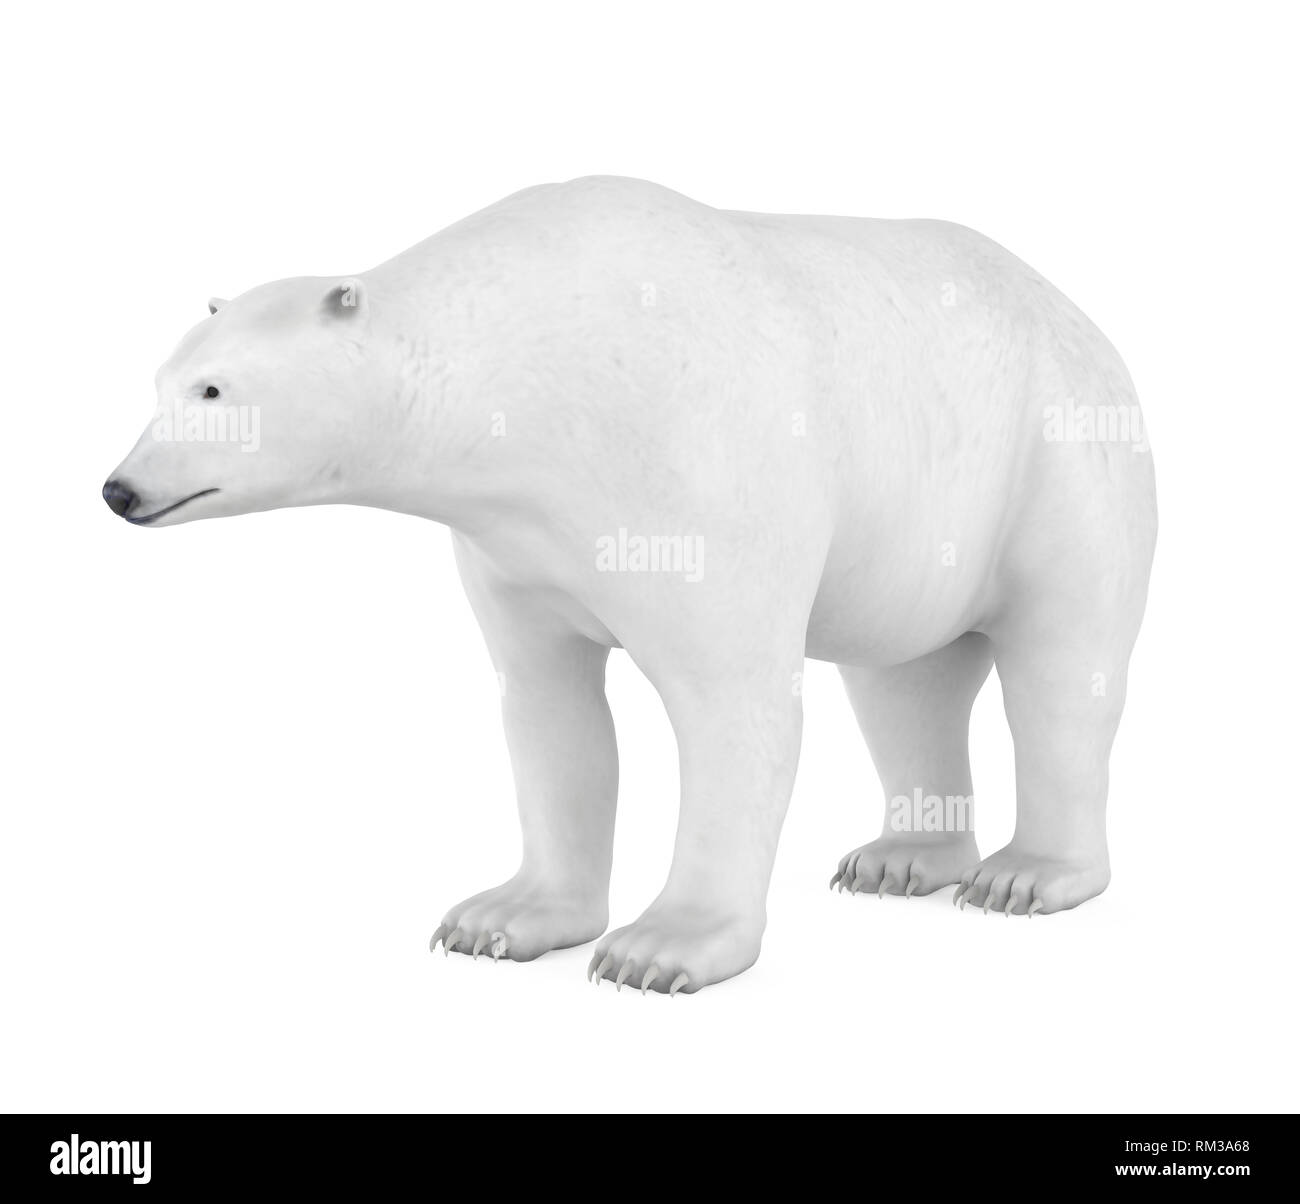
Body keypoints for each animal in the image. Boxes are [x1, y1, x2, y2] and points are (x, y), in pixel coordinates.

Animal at [104, 175, 1157, 995]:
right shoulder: (511, 540)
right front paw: (503, 917)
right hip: (917, 531)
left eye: (215, 391)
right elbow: (548, 710)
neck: (536, 374)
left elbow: (734, 708)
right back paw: (902, 859)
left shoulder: (697, 471)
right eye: (159, 382)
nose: (119, 488)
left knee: (1062, 674)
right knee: (905, 683)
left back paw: (1027, 877)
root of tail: (1076, 307)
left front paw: (662, 948)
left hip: (1057, 460)